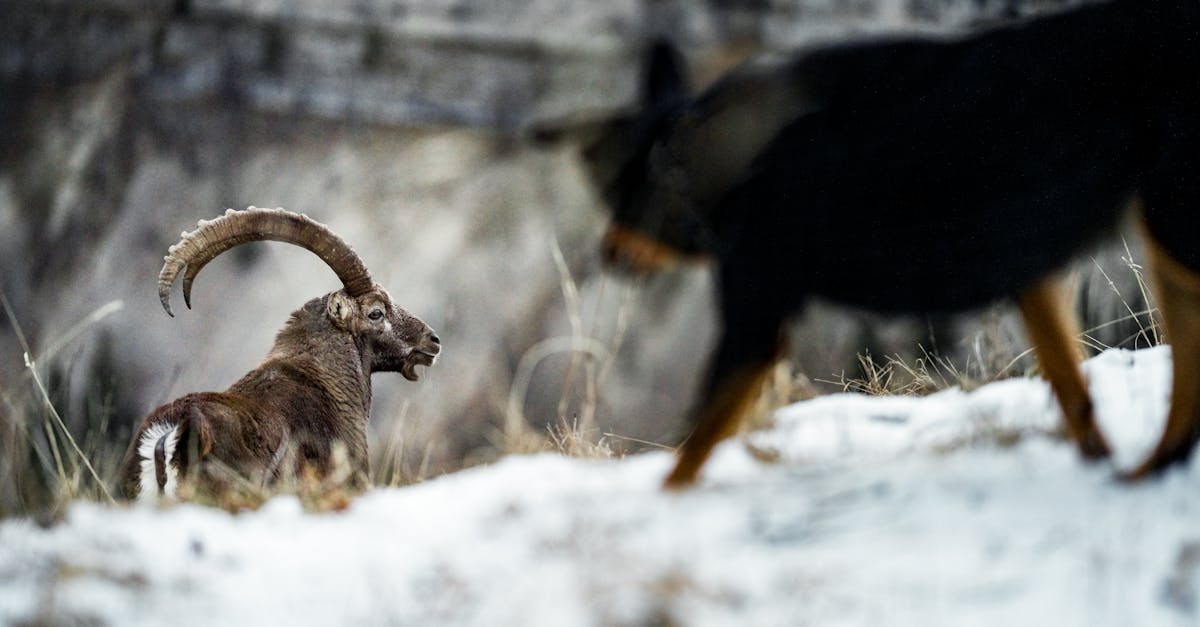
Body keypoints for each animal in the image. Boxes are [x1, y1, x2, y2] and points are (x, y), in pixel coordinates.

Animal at [580, 0, 1200, 485]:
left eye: (621, 201)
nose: (603, 254)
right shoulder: (1030, 277)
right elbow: (1075, 394)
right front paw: (1098, 461)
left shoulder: (754, 318)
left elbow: (686, 457)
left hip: (1170, 225)